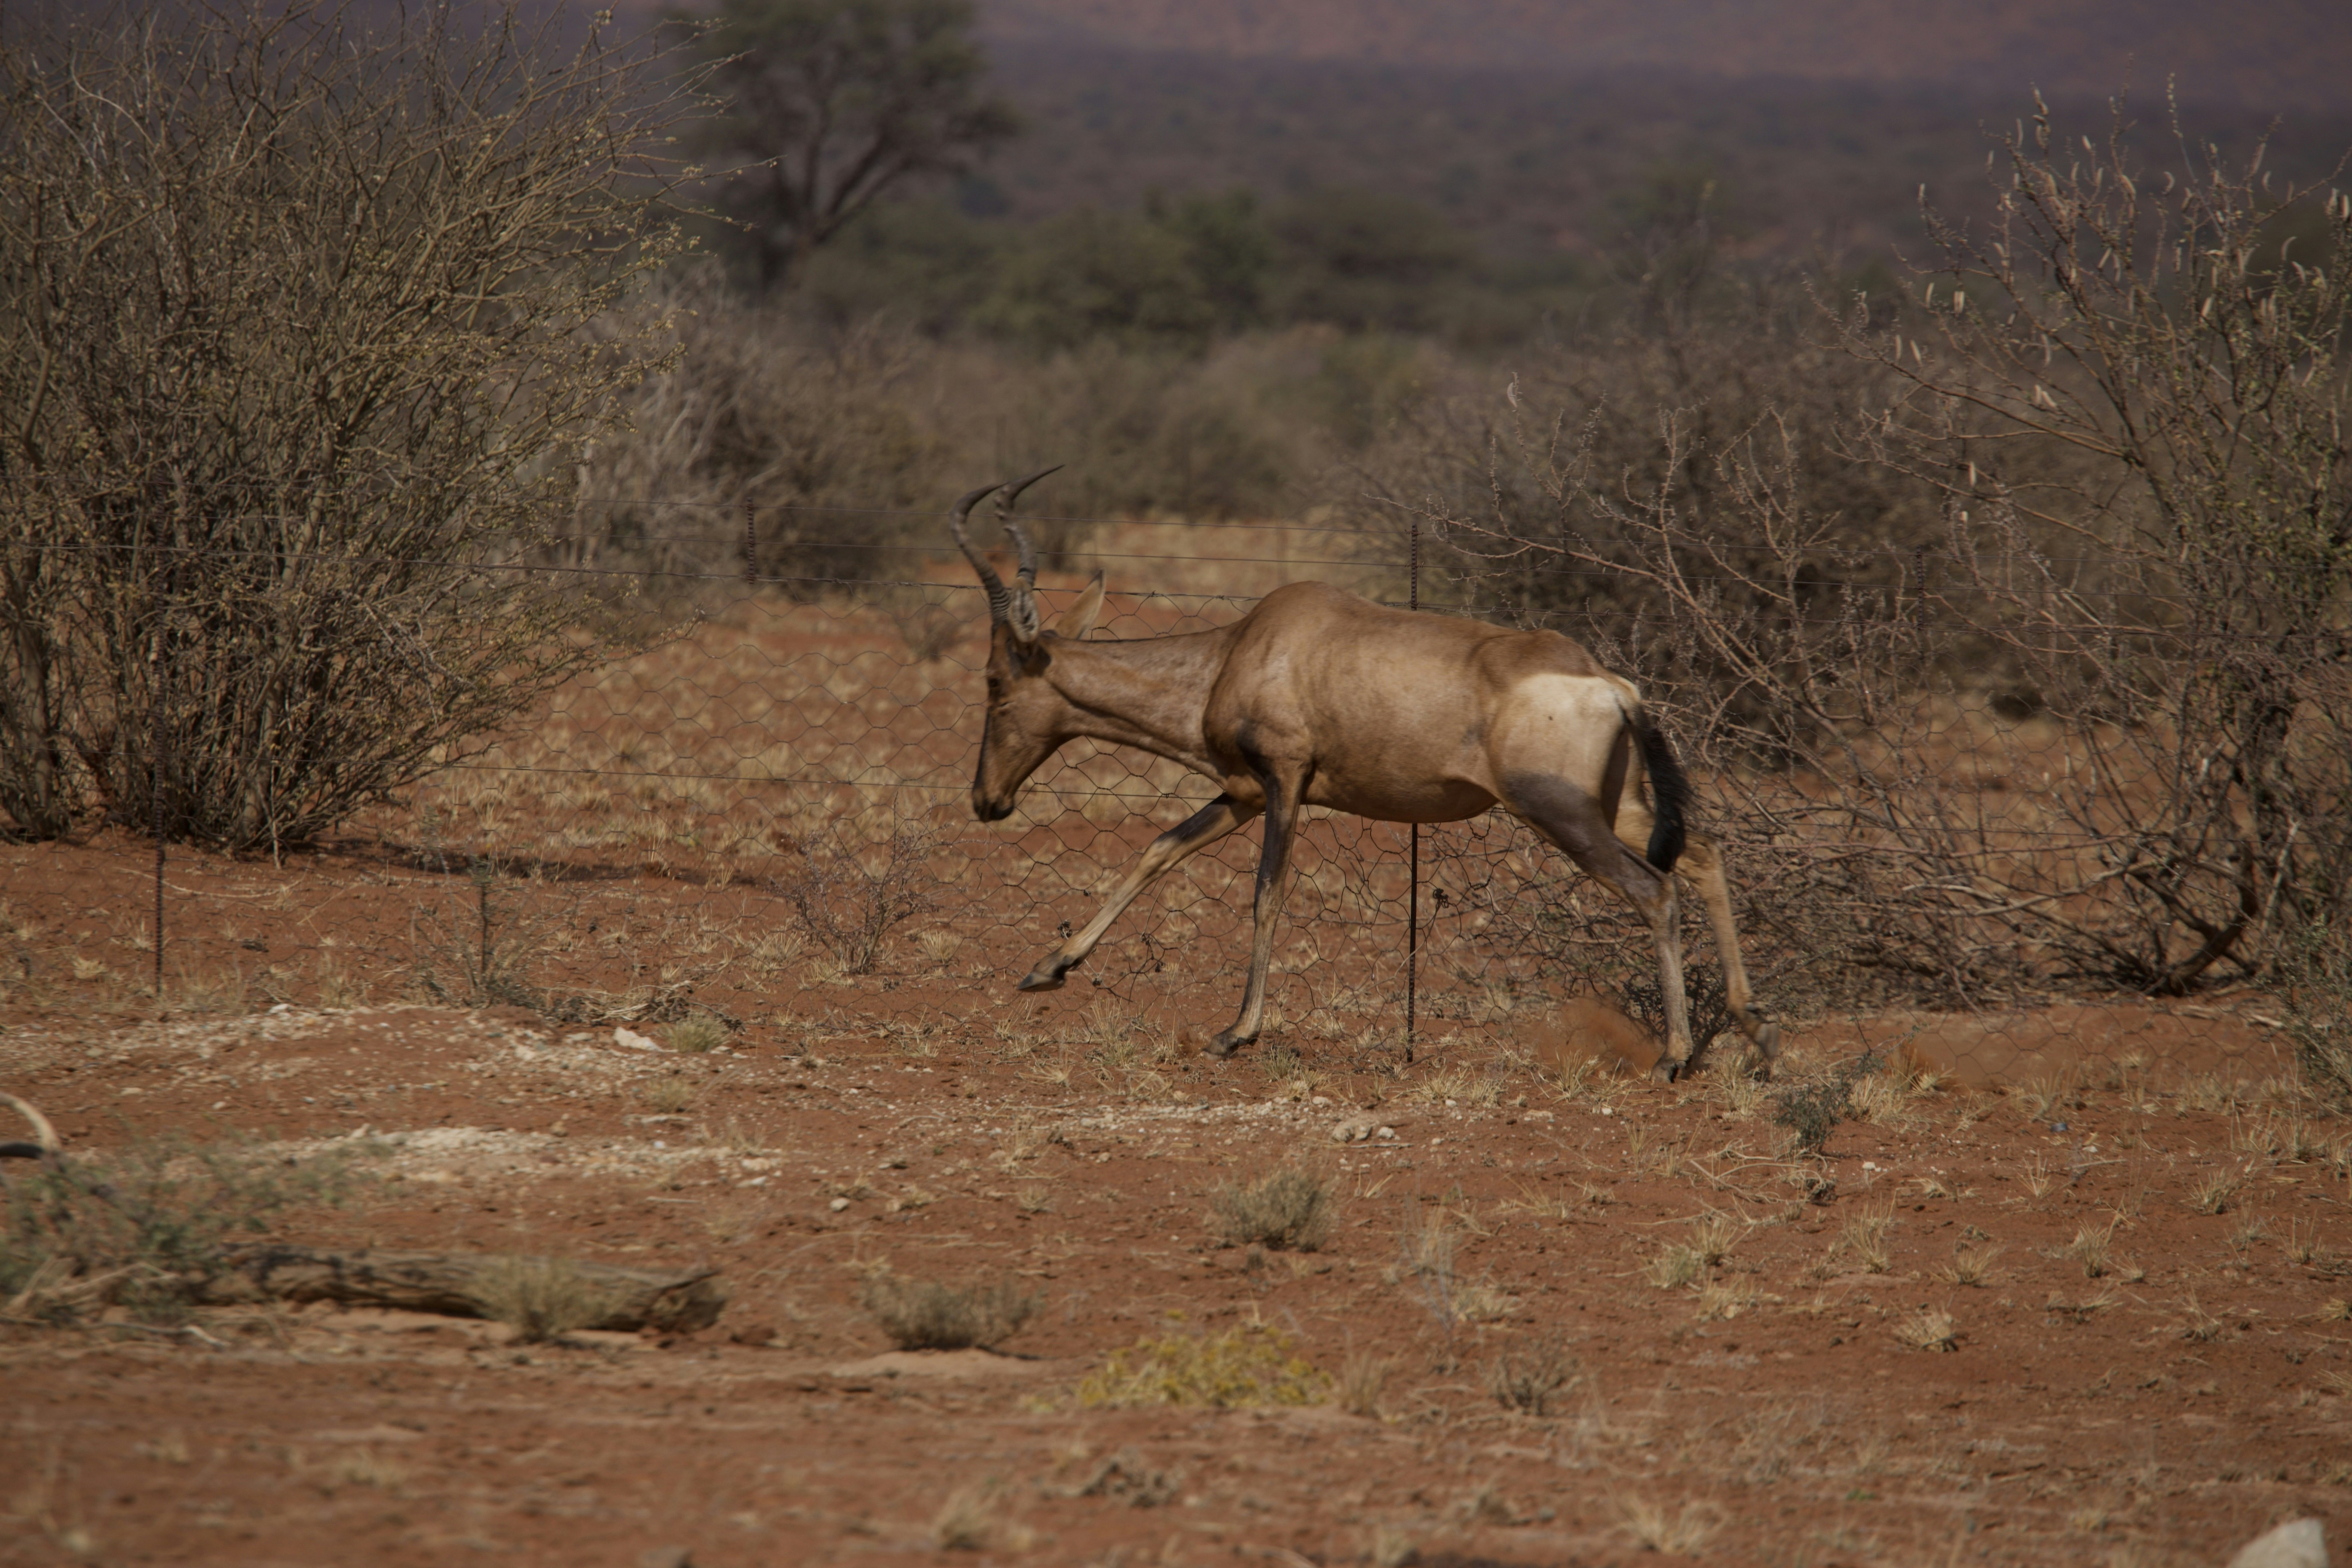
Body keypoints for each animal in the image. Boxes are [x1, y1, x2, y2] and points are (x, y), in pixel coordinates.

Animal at [951, 475, 1780, 1081]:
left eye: (994, 681)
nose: (987, 801)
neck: (1245, 647)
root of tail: (1610, 684)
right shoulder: (1242, 793)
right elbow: (1156, 851)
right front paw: (1048, 968)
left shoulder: (1284, 782)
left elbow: (1267, 894)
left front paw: (1235, 1032)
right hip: (1619, 807)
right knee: (1704, 856)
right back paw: (1754, 1031)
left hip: (1561, 813)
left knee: (1654, 890)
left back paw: (1673, 1057)